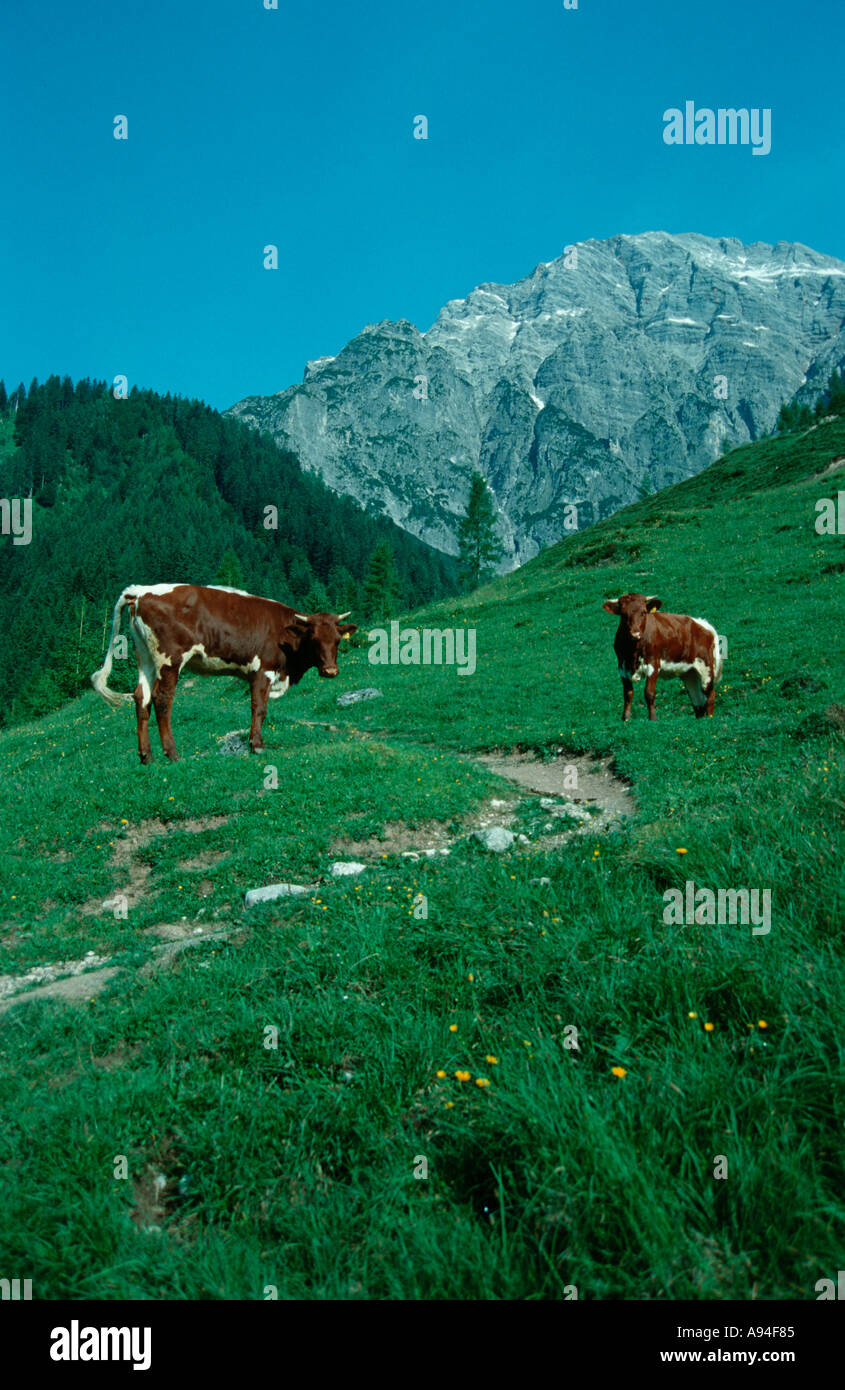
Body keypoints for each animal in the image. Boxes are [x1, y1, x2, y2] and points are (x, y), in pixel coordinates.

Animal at [91, 584, 356, 762]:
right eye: (313, 640)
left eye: (337, 640)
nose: (330, 670)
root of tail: (140, 591)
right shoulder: (263, 670)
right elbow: (259, 708)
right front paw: (257, 745)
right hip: (169, 660)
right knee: (162, 699)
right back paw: (173, 754)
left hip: (144, 657)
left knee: (141, 698)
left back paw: (146, 756)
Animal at [602, 593, 723, 721]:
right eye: (623, 614)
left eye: (643, 612)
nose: (635, 634)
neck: (633, 652)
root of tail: (702, 623)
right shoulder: (622, 667)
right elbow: (628, 694)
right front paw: (625, 718)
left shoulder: (653, 664)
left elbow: (649, 693)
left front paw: (653, 718)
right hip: (690, 673)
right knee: (697, 700)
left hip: (706, 667)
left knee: (710, 694)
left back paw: (710, 718)